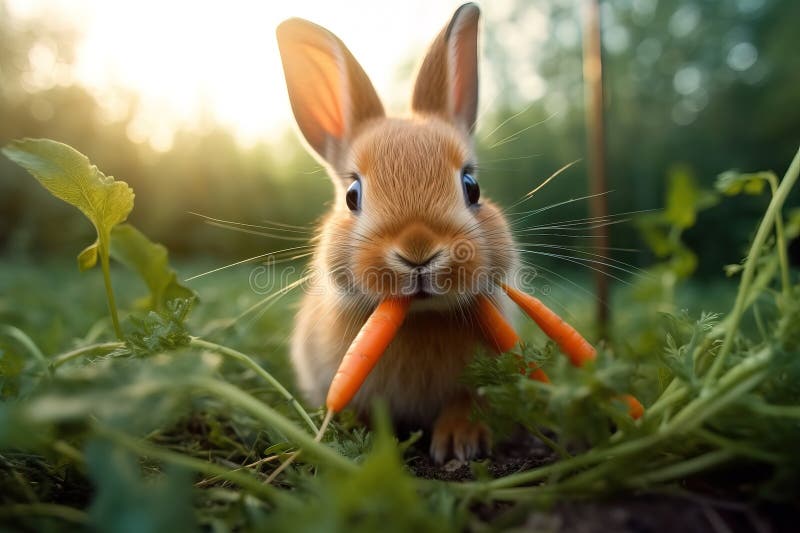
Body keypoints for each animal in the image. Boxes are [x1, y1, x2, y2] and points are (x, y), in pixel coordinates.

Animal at [276, 3, 518, 463]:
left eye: (472, 187)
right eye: (352, 195)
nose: (418, 250)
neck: (418, 318)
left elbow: (467, 401)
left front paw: (460, 442)